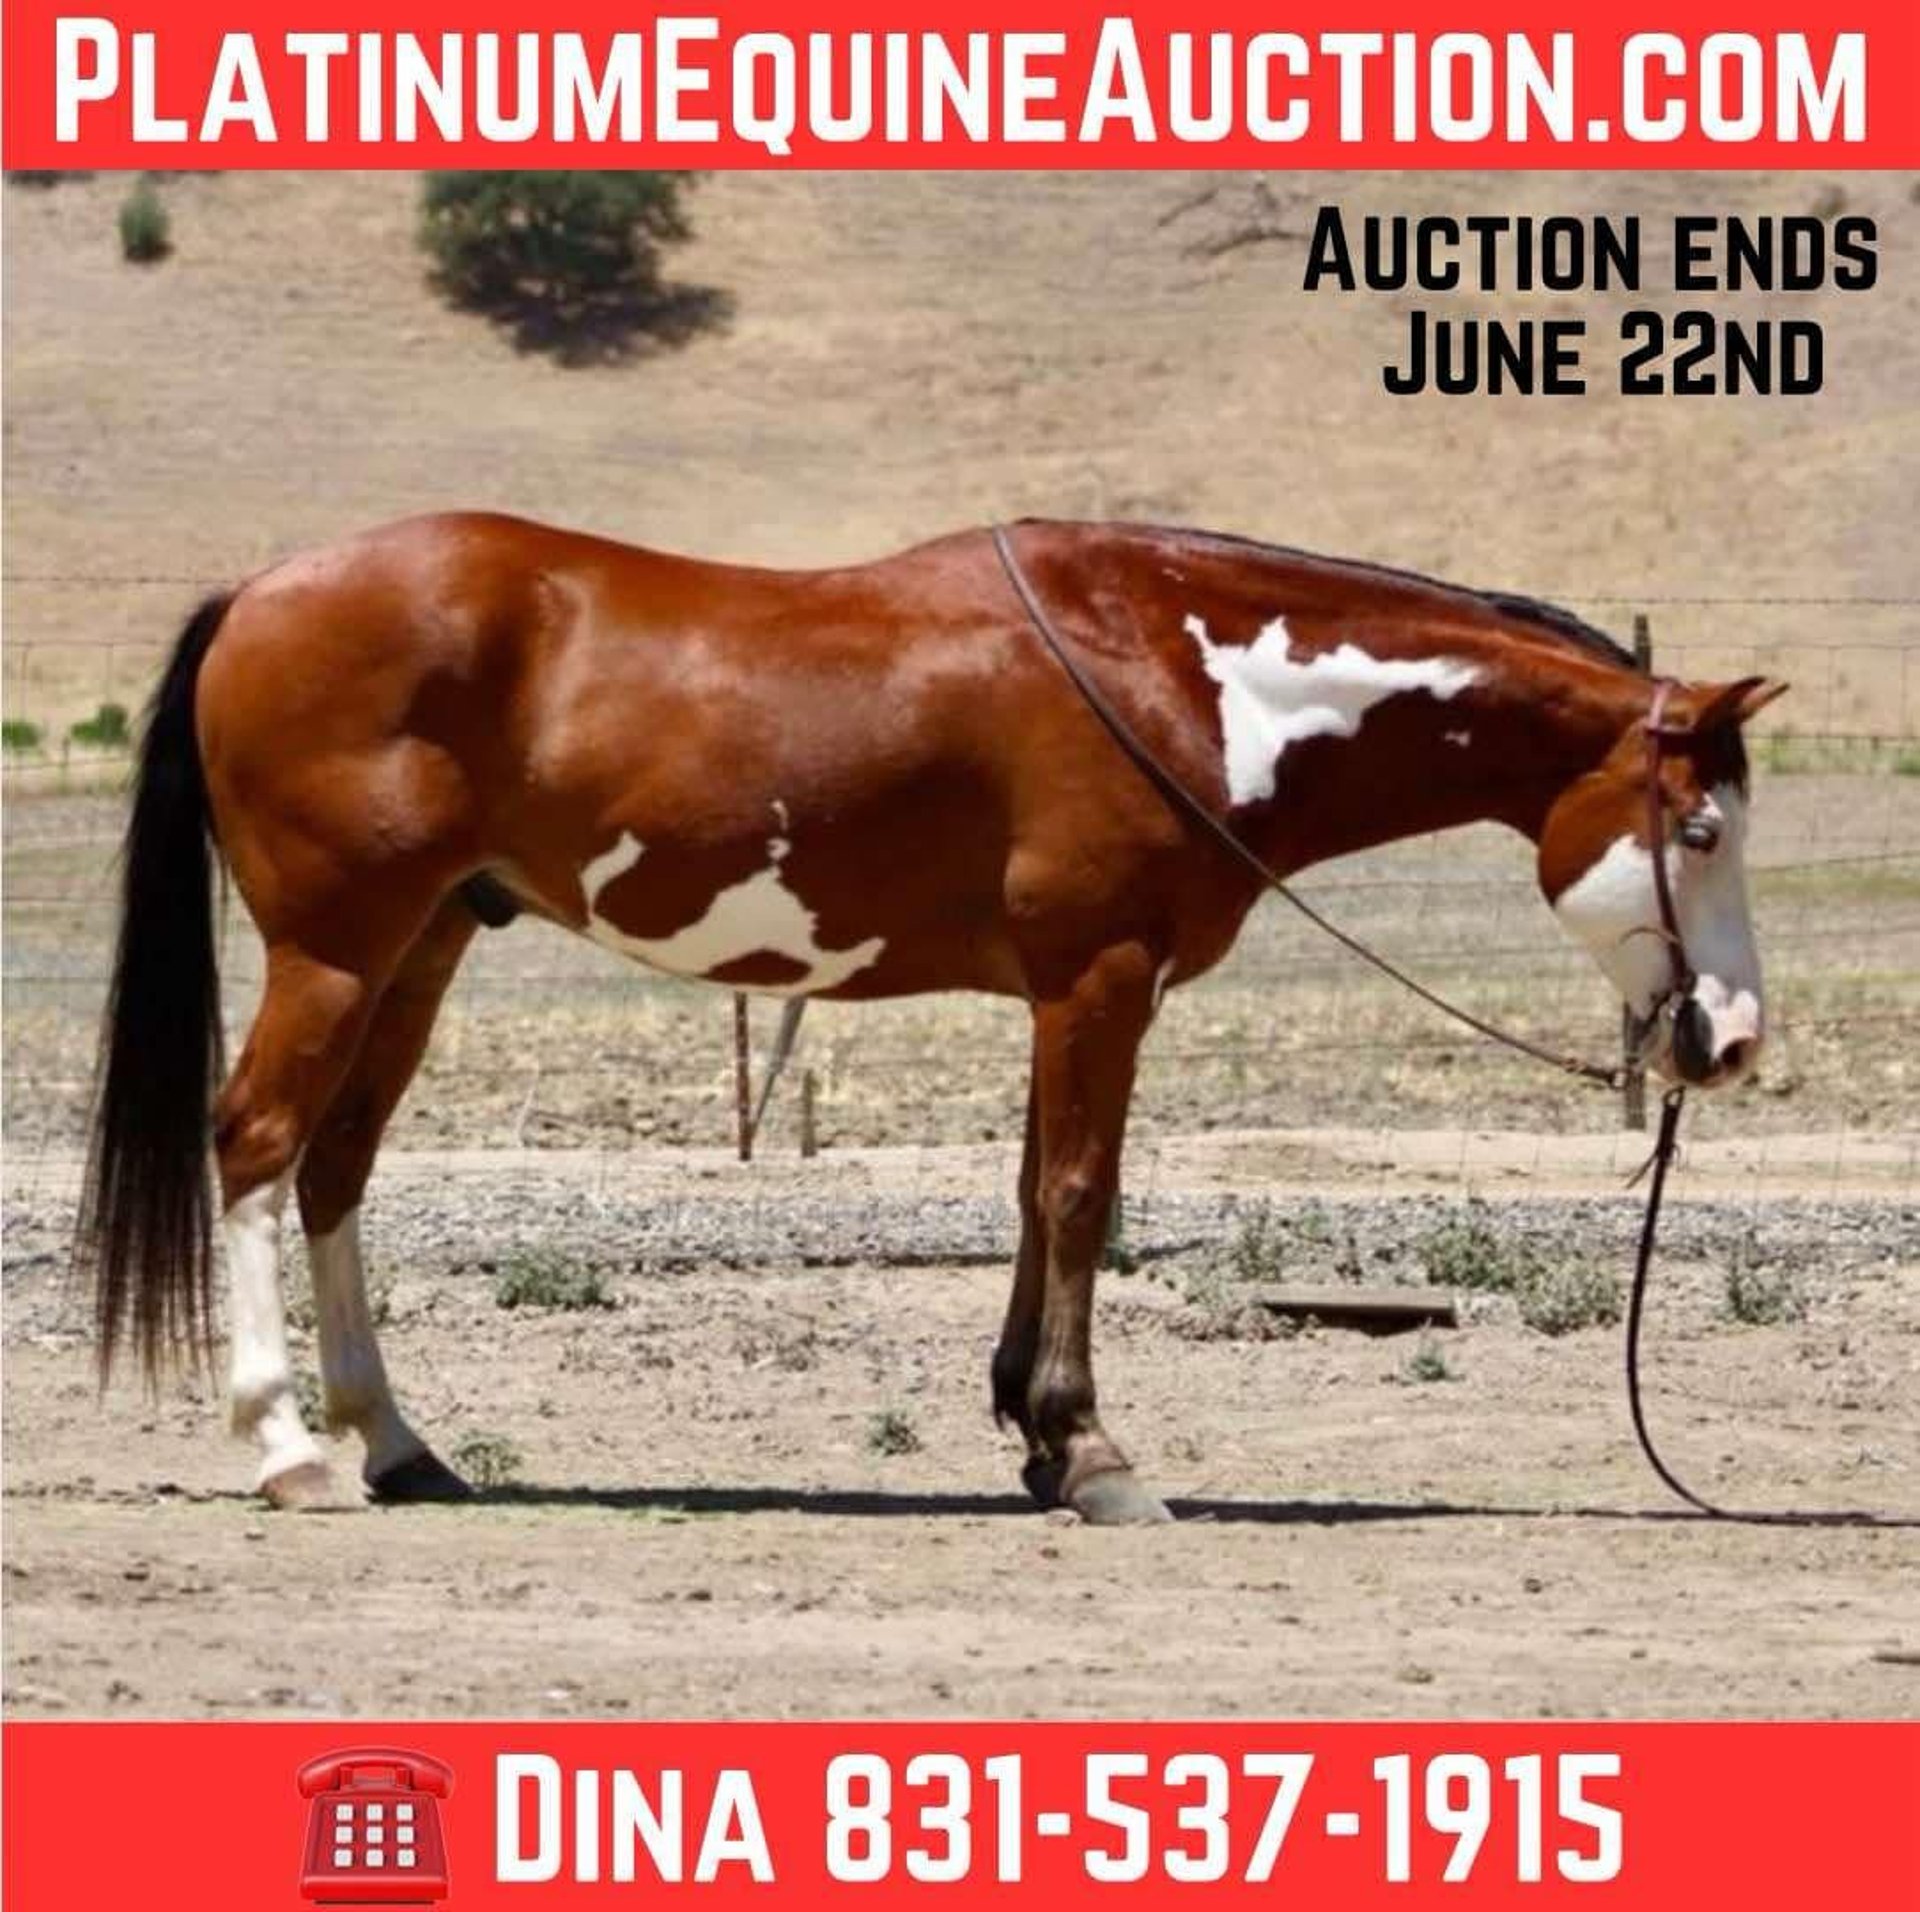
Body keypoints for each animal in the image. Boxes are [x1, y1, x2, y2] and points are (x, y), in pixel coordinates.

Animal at [76, 514, 1784, 1523]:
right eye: (1701, 829)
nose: (1733, 1038)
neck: (1176, 670)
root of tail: (262, 591)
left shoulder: (1066, 990)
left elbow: (1035, 1194)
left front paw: (1030, 1429)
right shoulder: (1100, 978)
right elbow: (1083, 1194)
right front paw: (1090, 1453)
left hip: (422, 950)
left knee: (336, 1172)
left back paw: (398, 1444)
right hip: (335, 950)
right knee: (257, 1146)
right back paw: (288, 1448)